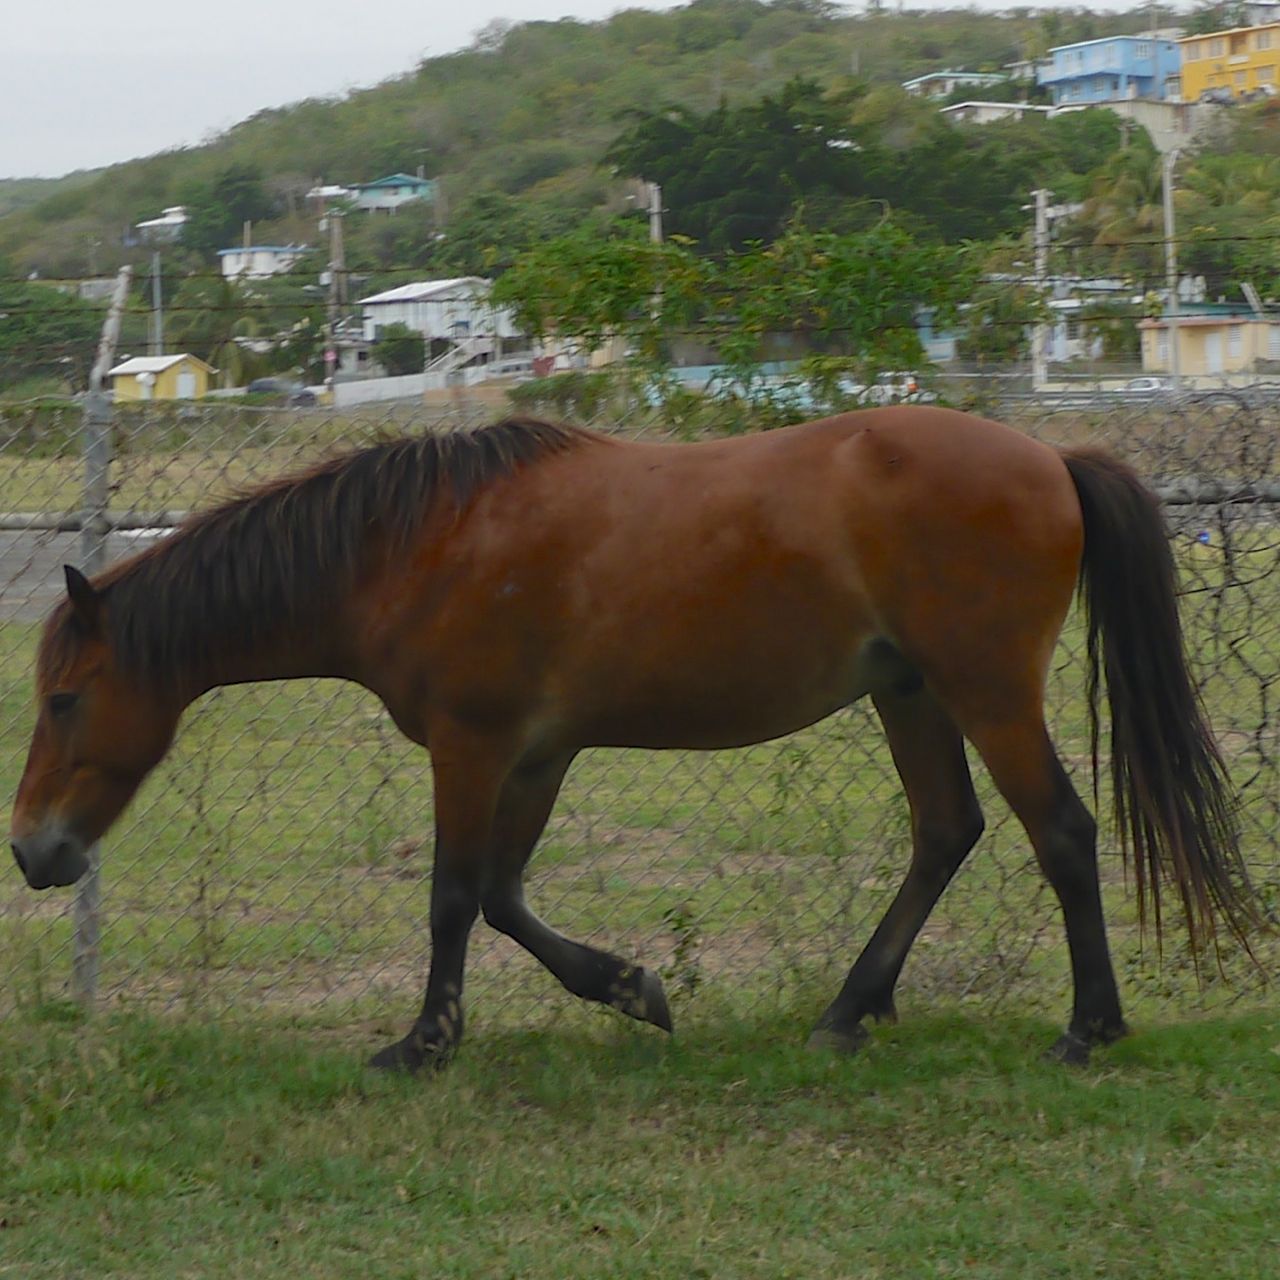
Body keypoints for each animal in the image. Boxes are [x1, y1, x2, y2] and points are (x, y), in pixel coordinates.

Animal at [10, 409, 1259, 1072]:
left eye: (64, 699)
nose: (33, 850)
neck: (415, 545)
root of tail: (1051, 456)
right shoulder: (535, 753)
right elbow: (505, 897)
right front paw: (628, 986)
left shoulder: (471, 746)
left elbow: (454, 898)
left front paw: (424, 1040)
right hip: (908, 694)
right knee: (943, 833)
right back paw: (845, 1011)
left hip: (983, 690)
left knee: (1059, 831)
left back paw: (1087, 1026)